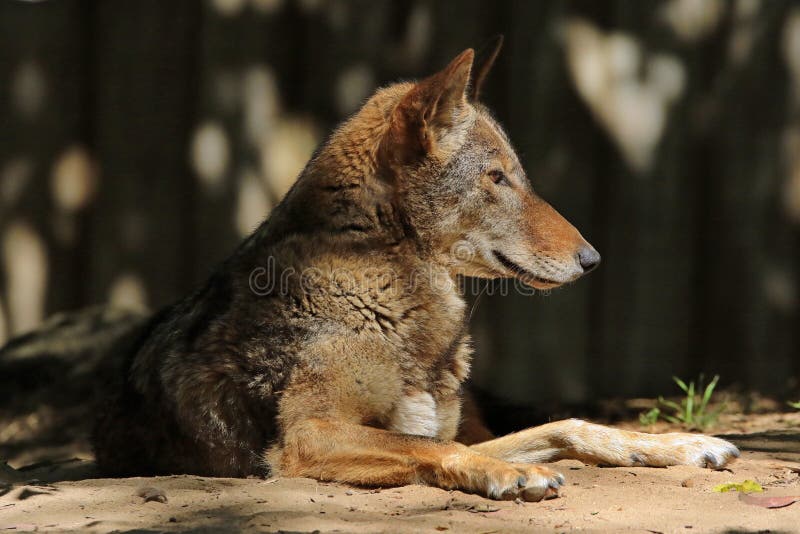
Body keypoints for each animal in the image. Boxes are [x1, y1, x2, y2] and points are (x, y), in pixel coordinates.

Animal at [92, 39, 738, 502]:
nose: (593, 260)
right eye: (496, 178)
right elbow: (429, 450)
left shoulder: (451, 426)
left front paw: (679, 444)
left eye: (519, 176)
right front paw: (509, 477)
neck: (381, 295)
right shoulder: (309, 435)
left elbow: (571, 425)